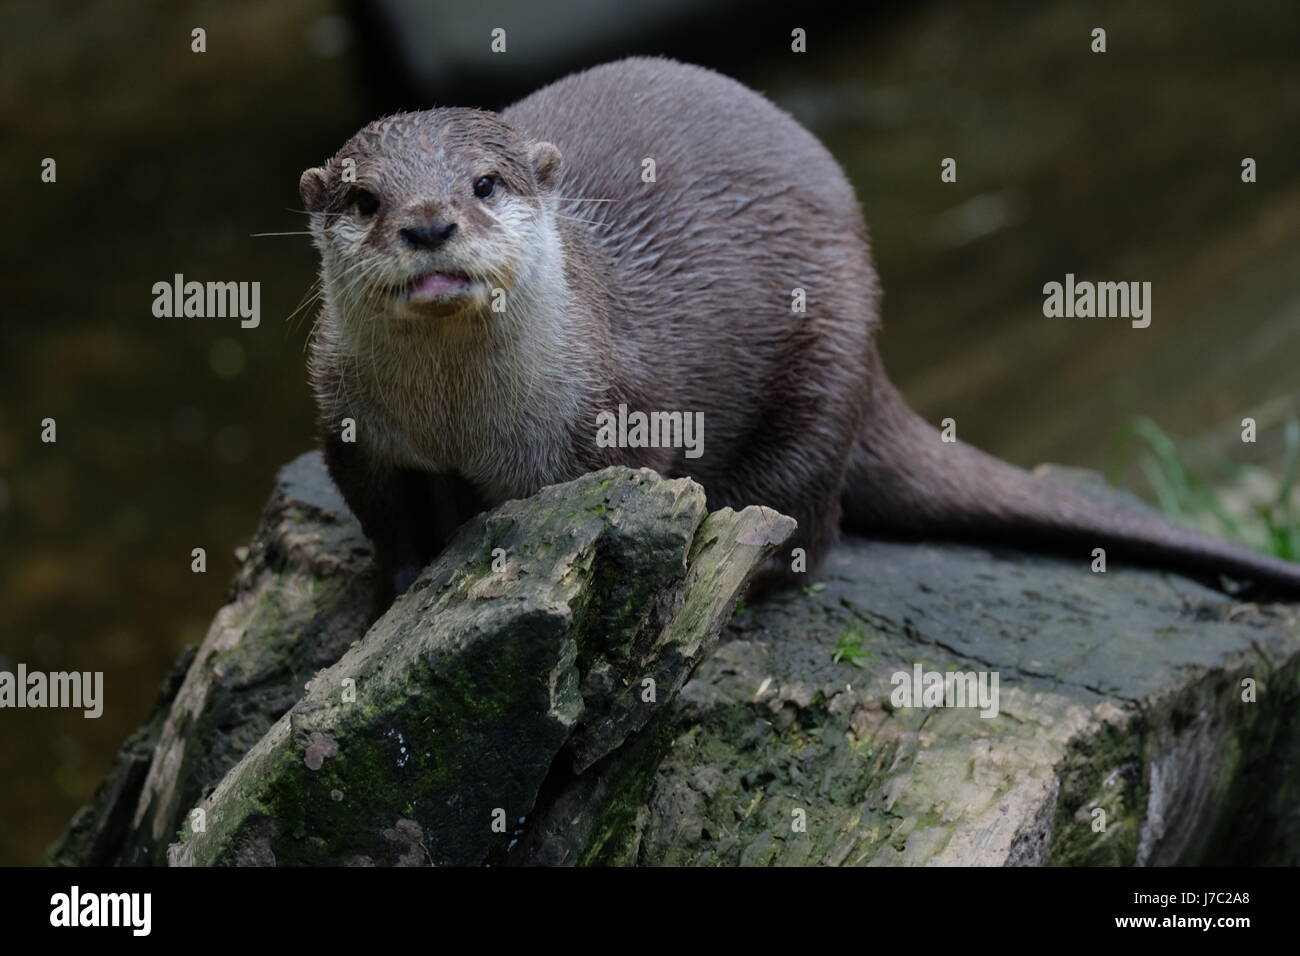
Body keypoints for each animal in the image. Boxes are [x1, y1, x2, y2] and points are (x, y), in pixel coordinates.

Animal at [299, 57, 1300, 612]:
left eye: (484, 183)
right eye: (366, 199)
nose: (429, 224)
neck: (459, 423)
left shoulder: (616, 417)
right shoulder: (352, 424)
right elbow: (387, 521)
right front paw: (395, 591)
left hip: (822, 368)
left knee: (813, 528)